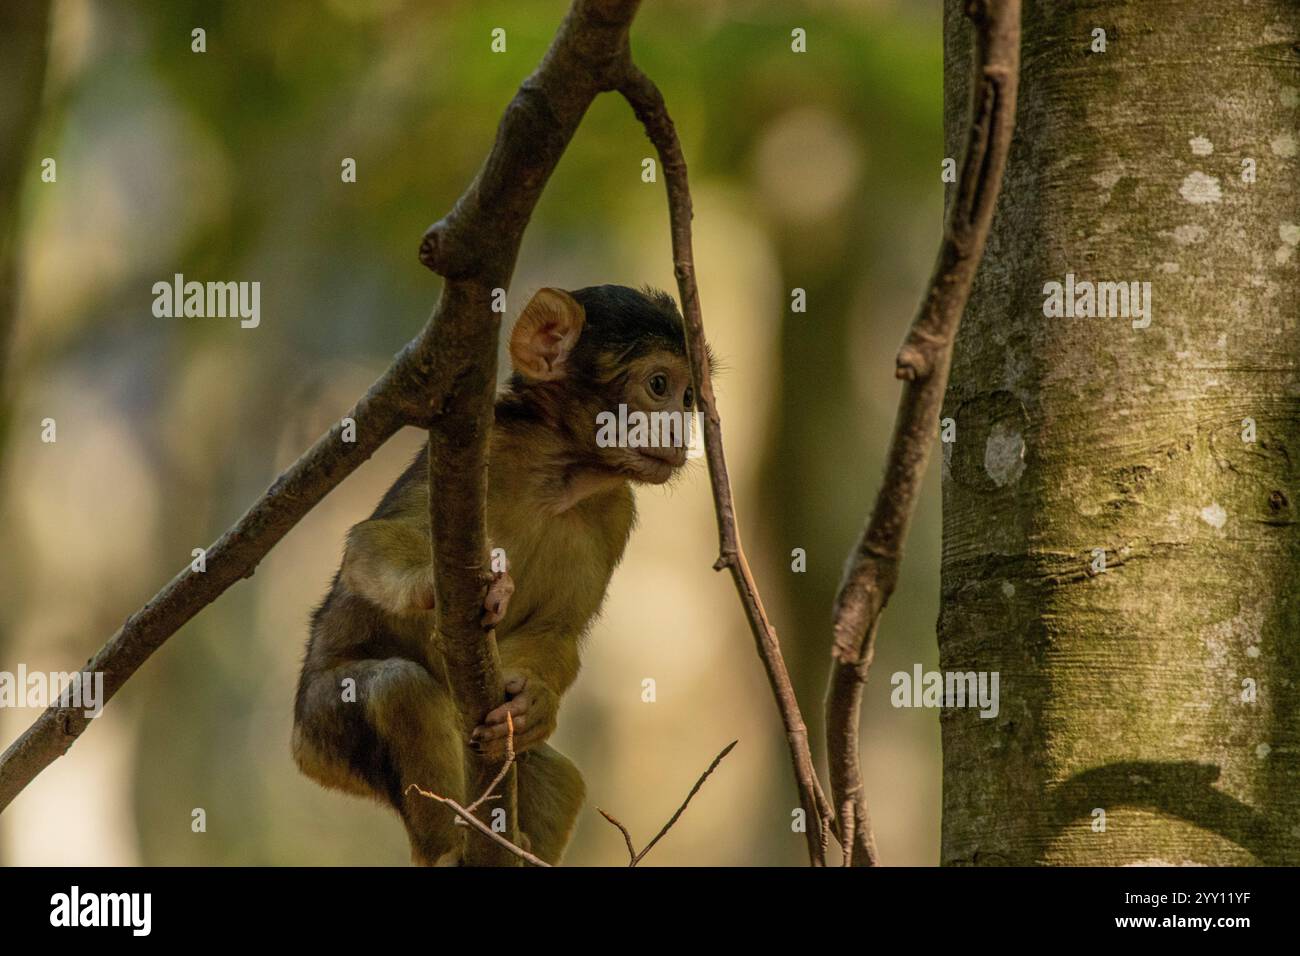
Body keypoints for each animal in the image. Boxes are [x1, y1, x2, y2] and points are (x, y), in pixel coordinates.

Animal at [292, 285, 706, 866]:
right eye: (660, 385)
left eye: (690, 397)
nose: (680, 429)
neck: (559, 473)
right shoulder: (491, 444)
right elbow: (369, 543)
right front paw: (441, 587)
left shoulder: (614, 510)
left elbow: (558, 630)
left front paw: (535, 700)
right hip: (322, 731)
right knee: (398, 690)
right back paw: (448, 846)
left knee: (558, 777)